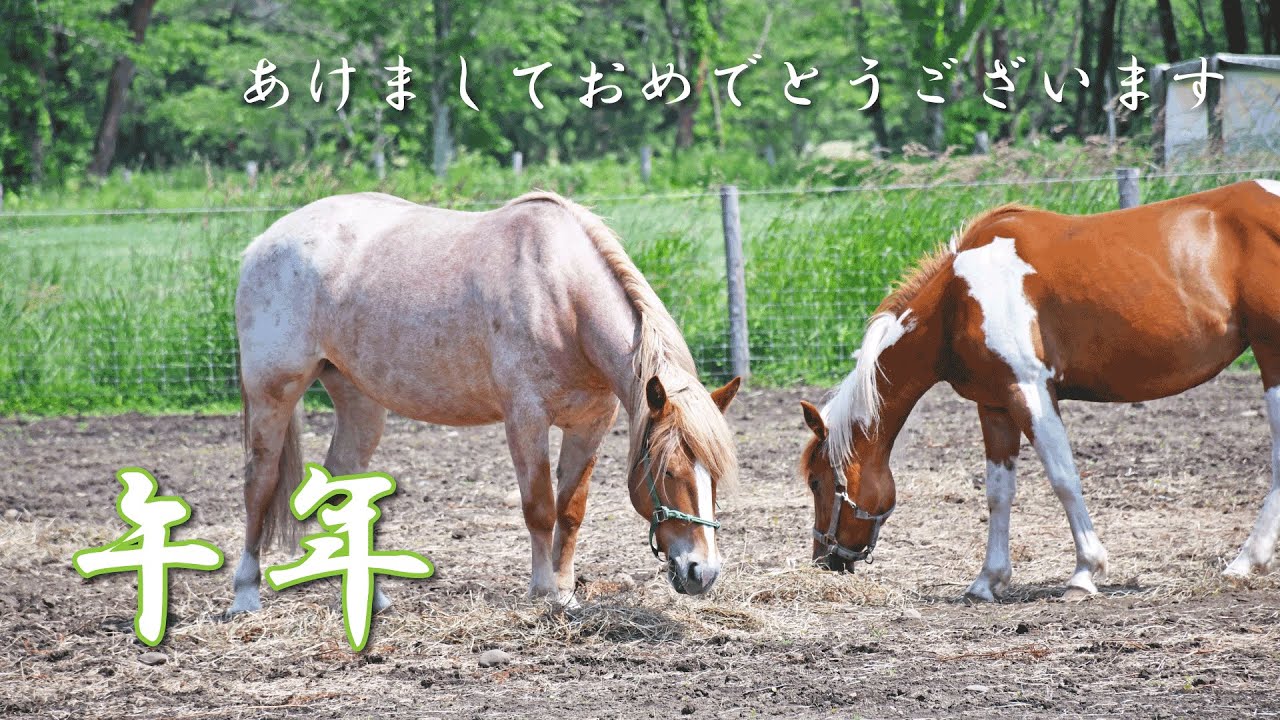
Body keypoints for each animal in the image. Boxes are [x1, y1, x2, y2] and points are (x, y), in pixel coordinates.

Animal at [228, 190, 740, 616]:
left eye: (715, 474)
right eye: (668, 471)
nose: (703, 572)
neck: (563, 300)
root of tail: (262, 243)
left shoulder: (590, 423)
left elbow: (571, 511)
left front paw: (566, 594)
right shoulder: (525, 419)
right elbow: (540, 507)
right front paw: (542, 591)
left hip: (359, 400)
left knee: (343, 481)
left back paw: (369, 596)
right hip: (274, 391)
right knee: (260, 482)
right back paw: (245, 595)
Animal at [798, 179, 1280, 602]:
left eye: (817, 482)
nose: (825, 560)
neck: (957, 302)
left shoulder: (1029, 391)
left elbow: (1064, 478)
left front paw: (1084, 573)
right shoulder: (994, 405)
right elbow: (998, 492)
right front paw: (987, 581)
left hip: (1272, 355)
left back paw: (1244, 562)